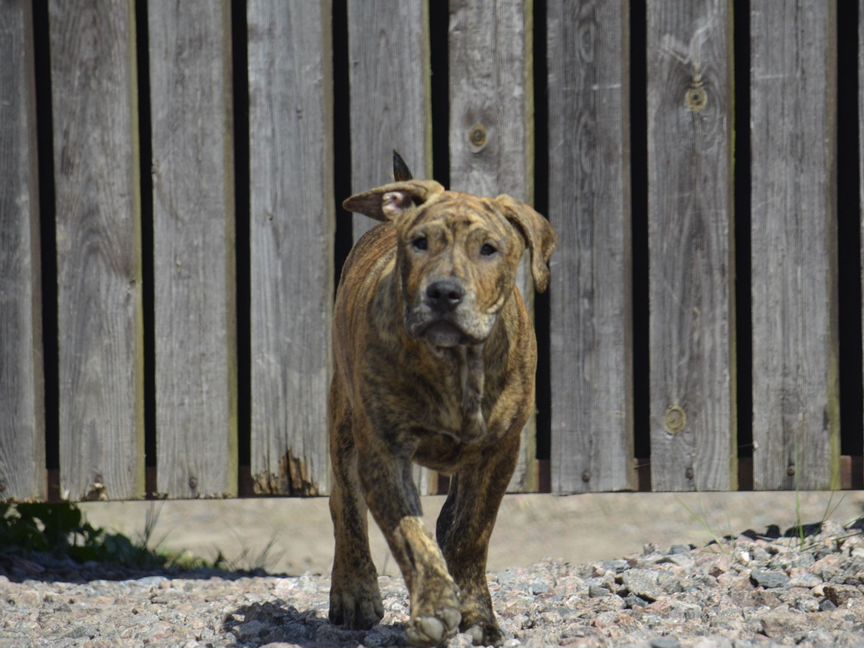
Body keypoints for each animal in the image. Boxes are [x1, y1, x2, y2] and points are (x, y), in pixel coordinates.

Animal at [328, 154, 556, 644]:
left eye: (488, 249)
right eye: (420, 244)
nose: (444, 292)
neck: (457, 362)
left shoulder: (498, 452)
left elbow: (470, 532)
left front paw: (478, 616)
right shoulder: (383, 453)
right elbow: (410, 536)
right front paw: (435, 605)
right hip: (343, 418)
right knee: (346, 505)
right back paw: (354, 591)